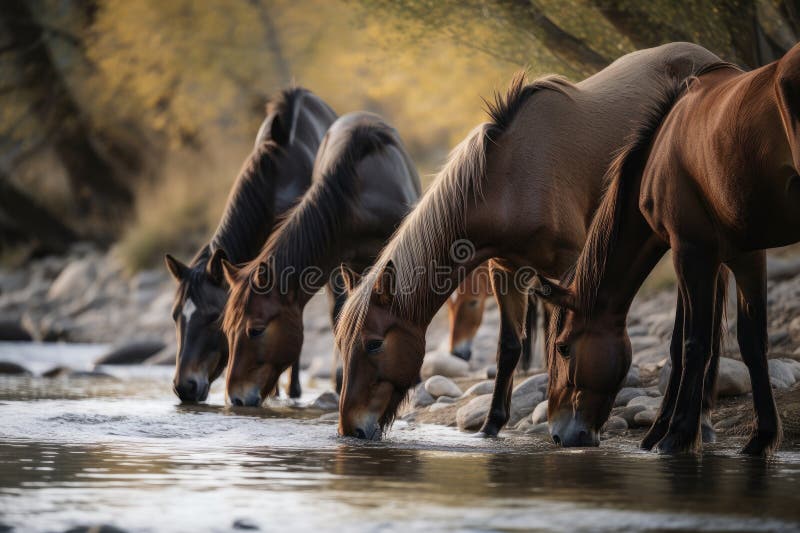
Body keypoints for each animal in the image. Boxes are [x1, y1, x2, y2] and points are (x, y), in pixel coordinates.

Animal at [335, 42, 729, 441]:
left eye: (373, 344)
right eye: (342, 345)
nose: (351, 428)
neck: (511, 180)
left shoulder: (571, 268)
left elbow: (559, 340)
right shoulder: (507, 270)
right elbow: (510, 346)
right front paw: (492, 424)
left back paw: (701, 420)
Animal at [534, 43, 800, 456]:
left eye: (563, 347)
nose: (560, 434)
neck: (662, 150)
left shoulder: (690, 251)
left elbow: (692, 343)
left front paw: (676, 434)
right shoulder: (743, 254)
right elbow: (751, 343)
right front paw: (761, 438)